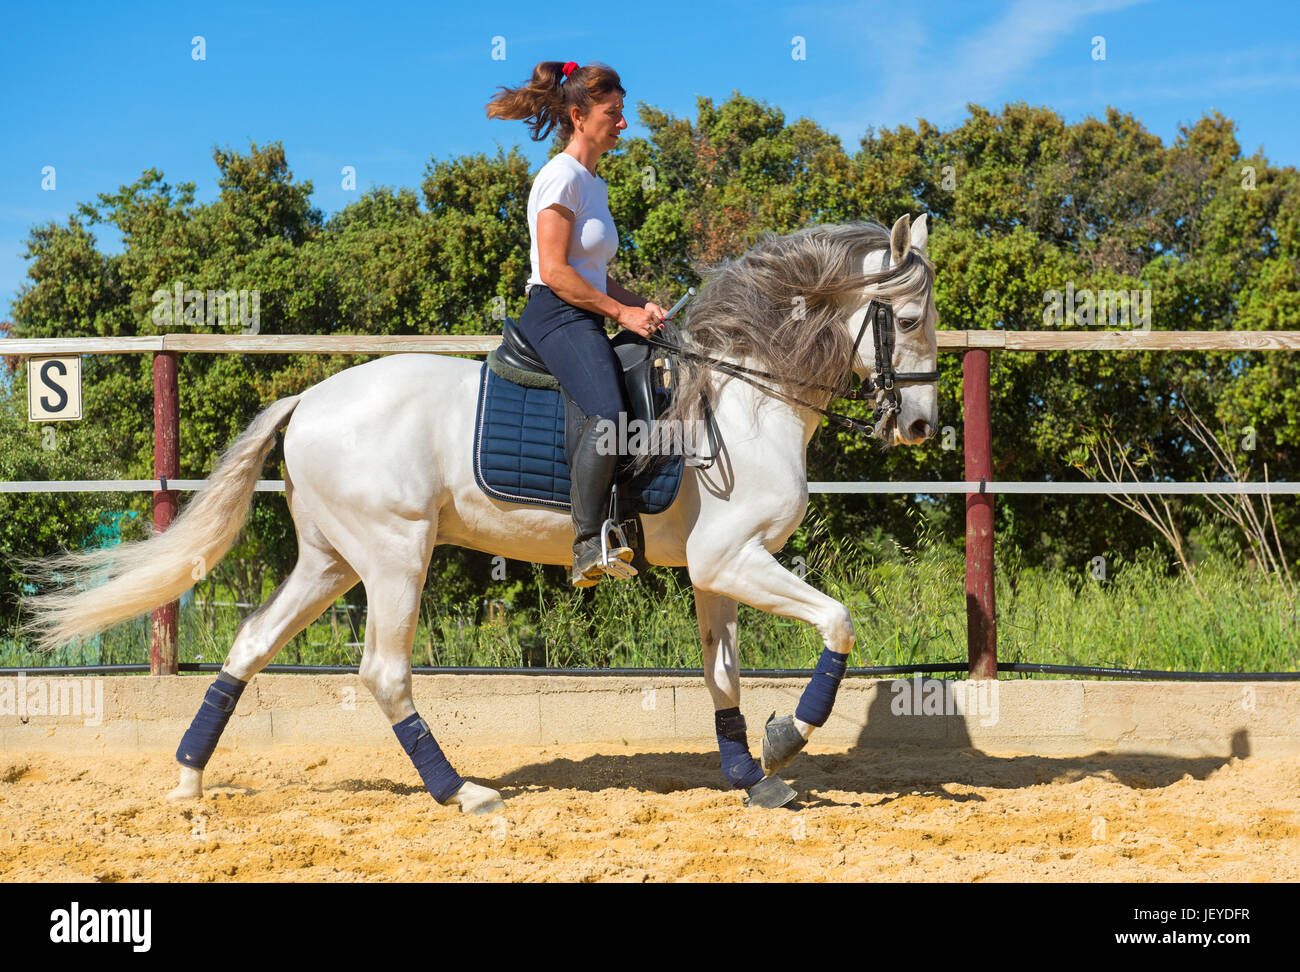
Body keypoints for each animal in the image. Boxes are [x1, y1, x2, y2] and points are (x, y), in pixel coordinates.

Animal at [21, 213, 939, 813]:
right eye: (910, 318)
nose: (922, 428)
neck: (743, 396)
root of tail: (309, 400)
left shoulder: (715, 572)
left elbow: (724, 676)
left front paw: (754, 775)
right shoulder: (734, 560)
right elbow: (839, 623)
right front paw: (789, 738)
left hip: (330, 562)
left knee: (249, 646)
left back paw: (187, 783)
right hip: (395, 556)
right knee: (383, 672)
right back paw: (458, 791)